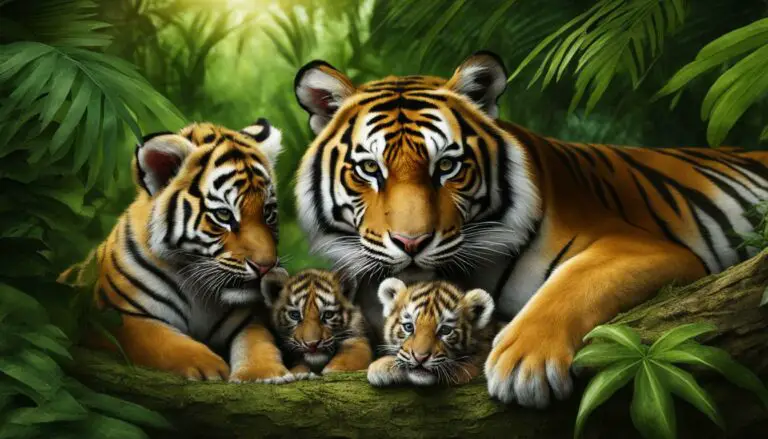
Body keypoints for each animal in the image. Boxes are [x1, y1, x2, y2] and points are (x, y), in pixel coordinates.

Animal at [64, 120, 295, 383]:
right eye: (224, 215)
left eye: (267, 212)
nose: (266, 266)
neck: (198, 290)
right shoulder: (115, 317)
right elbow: (159, 340)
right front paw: (210, 368)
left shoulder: (248, 320)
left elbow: (257, 341)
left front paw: (262, 373)